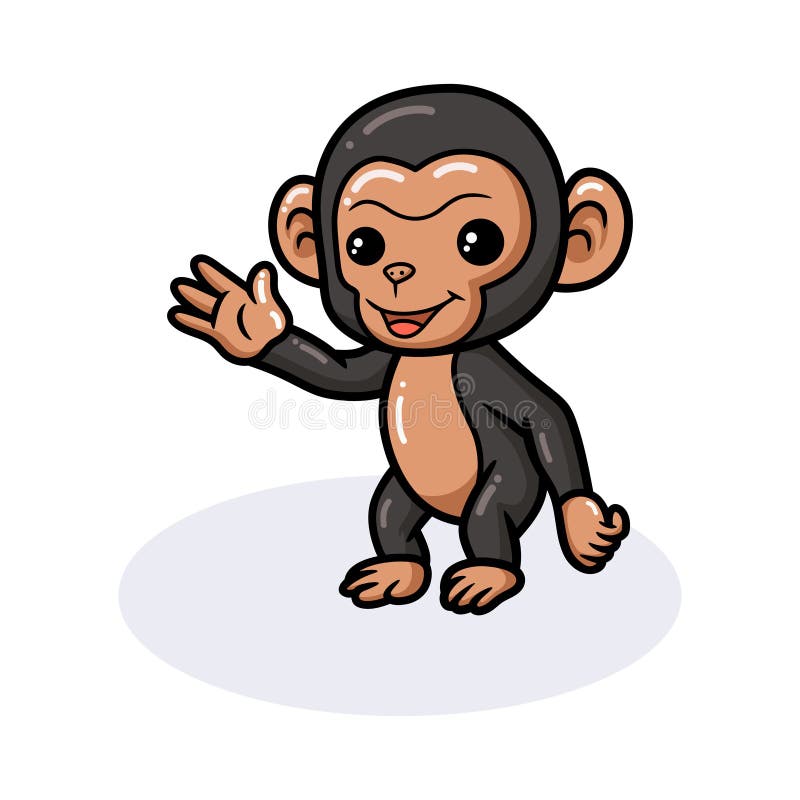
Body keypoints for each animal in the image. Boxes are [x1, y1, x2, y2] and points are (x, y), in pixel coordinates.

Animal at [168, 85, 633, 615]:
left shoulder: (481, 366)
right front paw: (248, 323)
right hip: (403, 488)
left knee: (486, 516)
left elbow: (546, 415)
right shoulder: (387, 357)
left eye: (479, 241)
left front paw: (583, 522)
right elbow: (340, 374)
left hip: (510, 485)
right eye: (362, 245)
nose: (399, 270)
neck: (430, 356)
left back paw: (488, 574)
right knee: (389, 514)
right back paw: (397, 570)